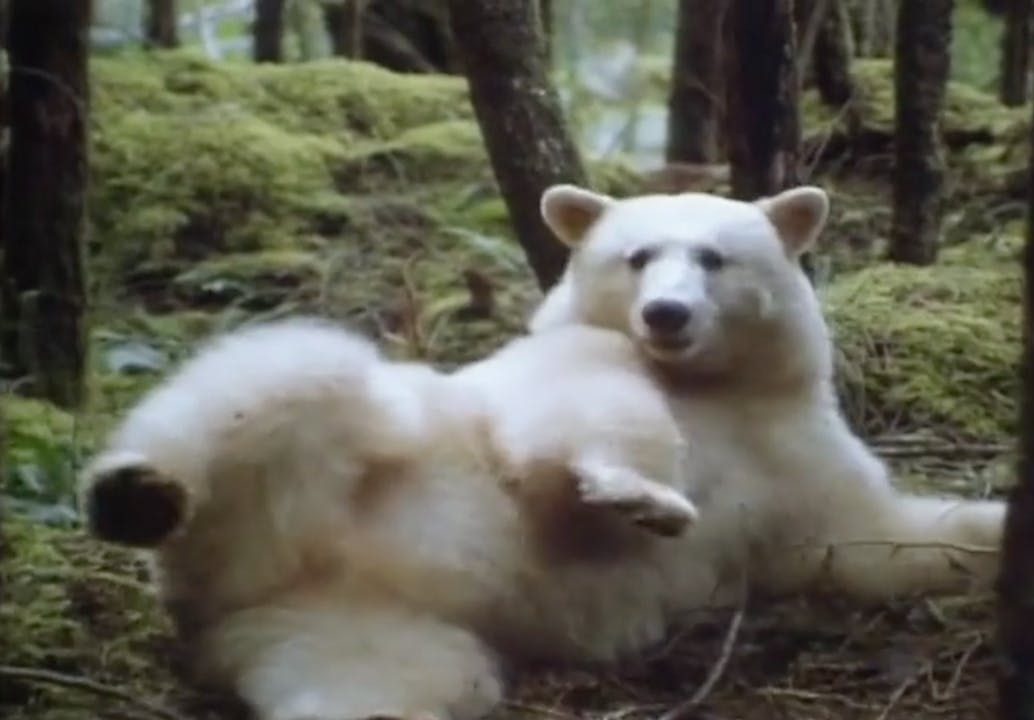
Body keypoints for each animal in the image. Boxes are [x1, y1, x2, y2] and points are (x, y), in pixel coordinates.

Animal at [79, 318, 706, 720]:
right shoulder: (574, 362)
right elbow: (585, 419)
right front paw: (639, 494)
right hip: (308, 458)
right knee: (284, 378)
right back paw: (137, 498)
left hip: (329, 618)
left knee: (375, 676)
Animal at [529, 182, 1005, 603]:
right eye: (638, 257)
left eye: (712, 257)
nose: (666, 312)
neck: (701, 382)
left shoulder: (789, 451)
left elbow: (875, 536)